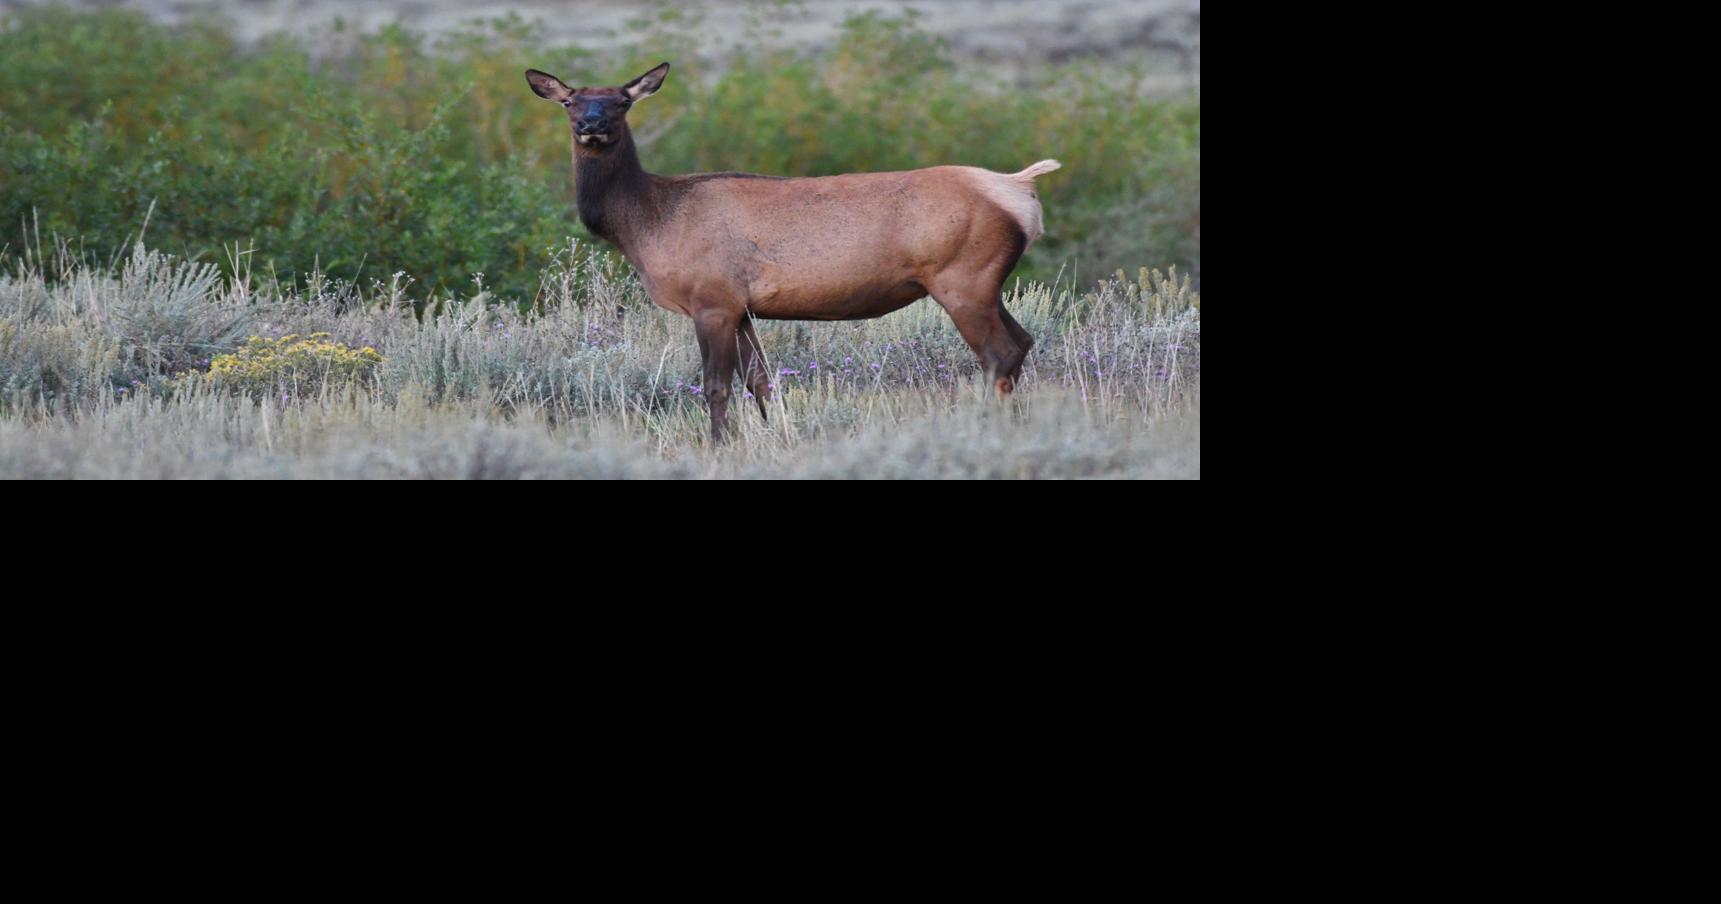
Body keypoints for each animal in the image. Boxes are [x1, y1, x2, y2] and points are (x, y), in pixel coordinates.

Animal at [527, 63, 1062, 442]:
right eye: (570, 100)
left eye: (621, 101)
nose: (591, 123)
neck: (646, 224)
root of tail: (1019, 189)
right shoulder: (742, 308)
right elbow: (760, 383)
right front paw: (773, 436)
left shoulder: (712, 298)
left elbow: (717, 386)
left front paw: (720, 446)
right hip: (986, 283)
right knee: (1022, 342)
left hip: (962, 277)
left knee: (998, 353)